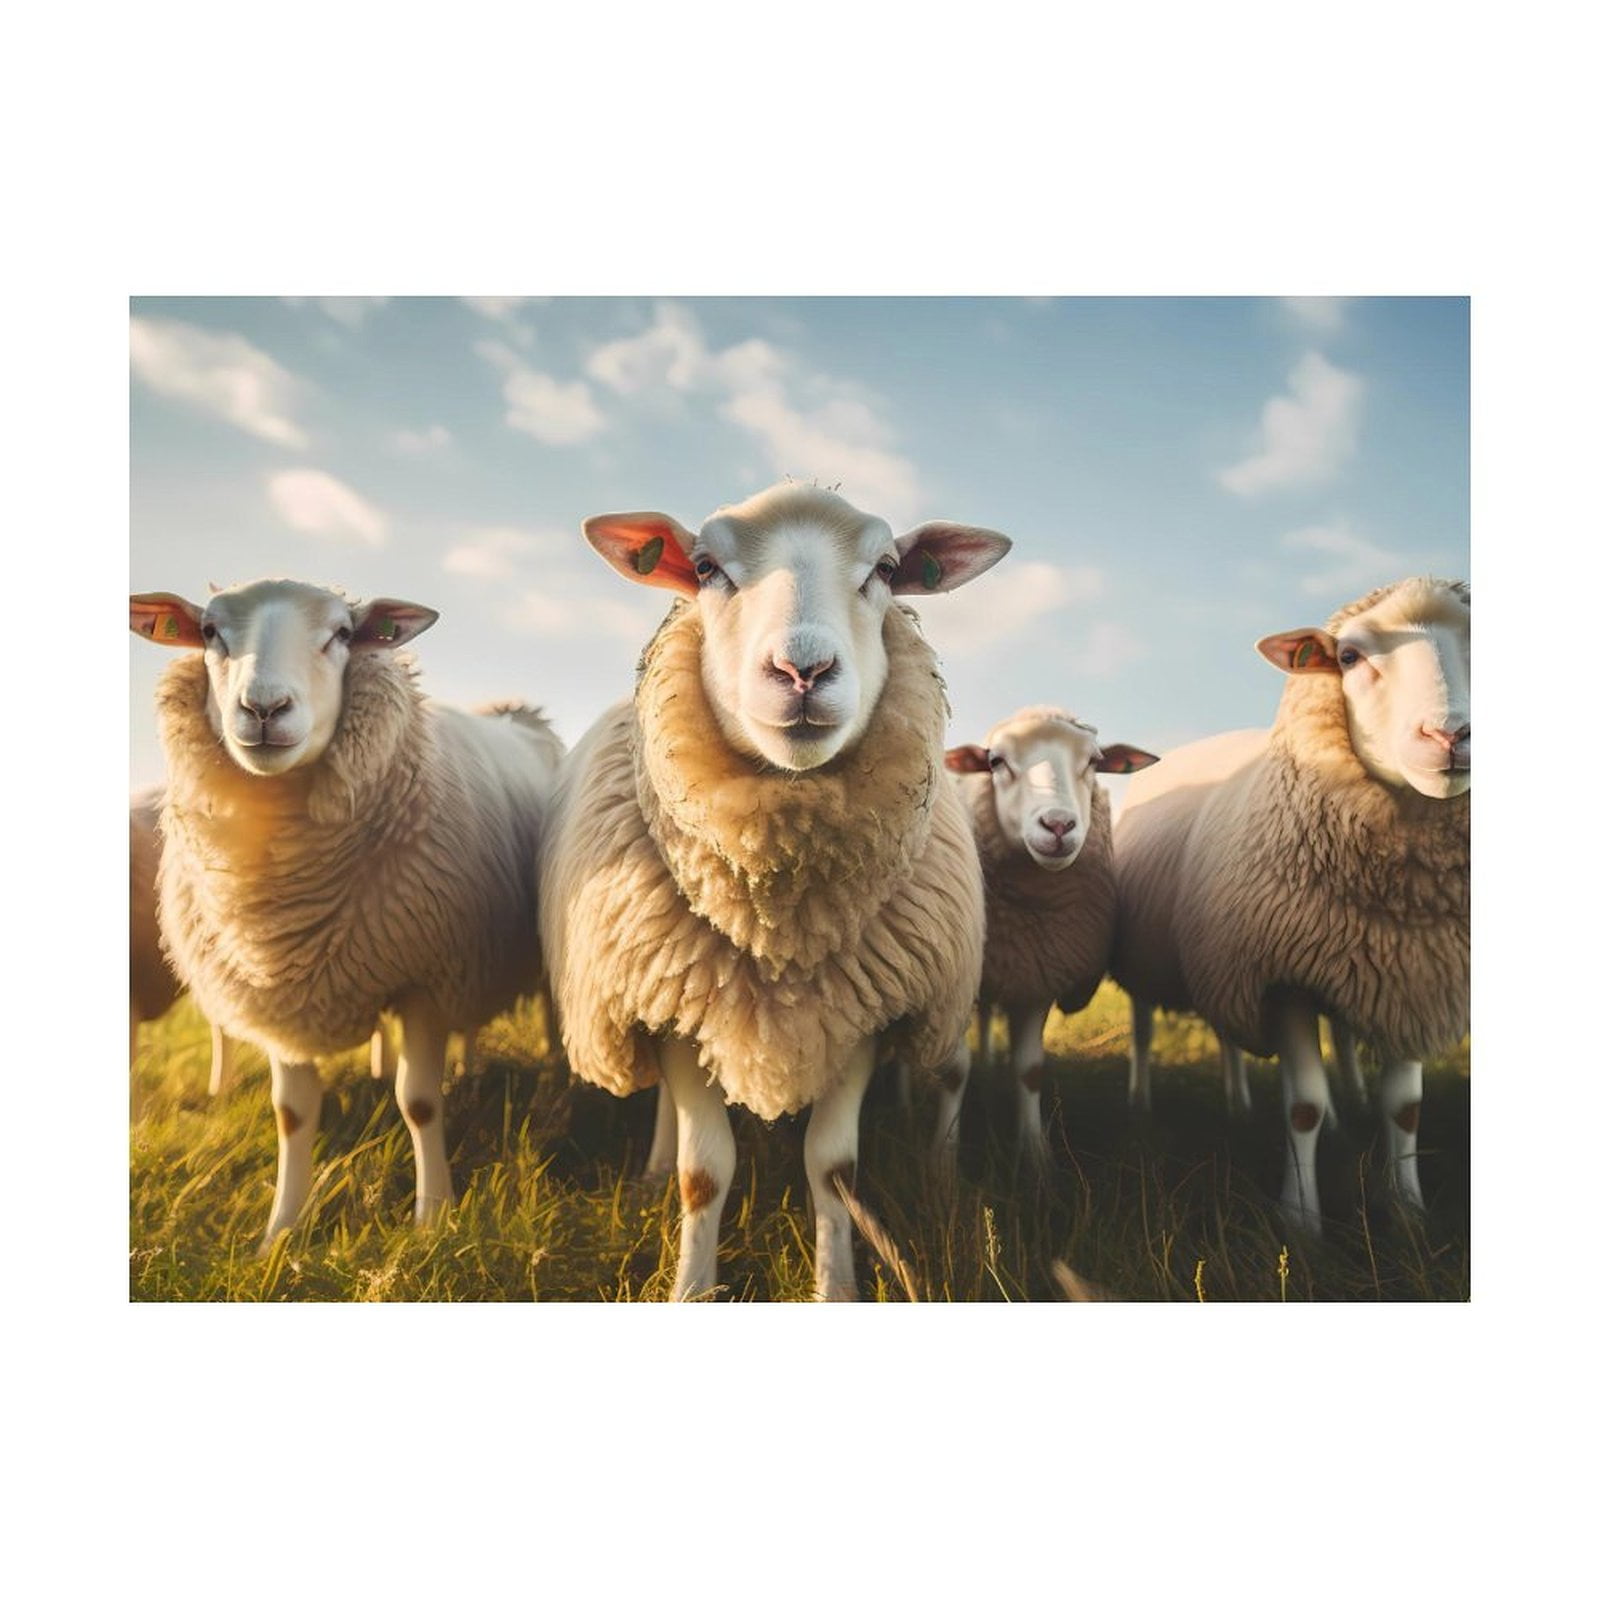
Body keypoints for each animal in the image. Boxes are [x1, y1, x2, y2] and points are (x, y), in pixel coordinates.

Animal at [129, 578, 563, 1248]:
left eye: (340, 634)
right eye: (209, 632)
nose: (264, 708)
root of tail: (514, 711)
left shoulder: (422, 976)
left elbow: (418, 1103)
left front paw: (432, 1218)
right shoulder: (275, 989)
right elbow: (291, 1115)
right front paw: (280, 1231)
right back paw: (469, 1071)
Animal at [540, 482, 1011, 1300]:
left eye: (887, 569)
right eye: (704, 567)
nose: (803, 671)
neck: (779, 914)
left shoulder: (863, 1010)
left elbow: (834, 1169)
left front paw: (837, 1287)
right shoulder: (676, 1010)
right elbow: (704, 1173)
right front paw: (691, 1287)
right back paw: (652, 1168)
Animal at [936, 707, 1157, 1171]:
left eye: (1094, 761)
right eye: (996, 761)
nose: (1058, 825)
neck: (1024, 920)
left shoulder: (1034, 976)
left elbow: (1030, 1069)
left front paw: (1036, 1156)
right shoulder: (961, 980)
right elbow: (953, 1070)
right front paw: (941, 1161)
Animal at [1110, 577, 1470, 1232]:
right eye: (1348, 656)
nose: (1450, 737)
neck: (1402, 904)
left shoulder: (1416, 978)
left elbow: (1405, 1108)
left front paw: (1407, 1209)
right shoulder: (1282, 982)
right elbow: (1303, 1105)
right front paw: (1300, 1219)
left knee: (1243, 1037)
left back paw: (1252, 1104)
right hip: (1152, 959)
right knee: (1145, 1031)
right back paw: (1142, 1104)